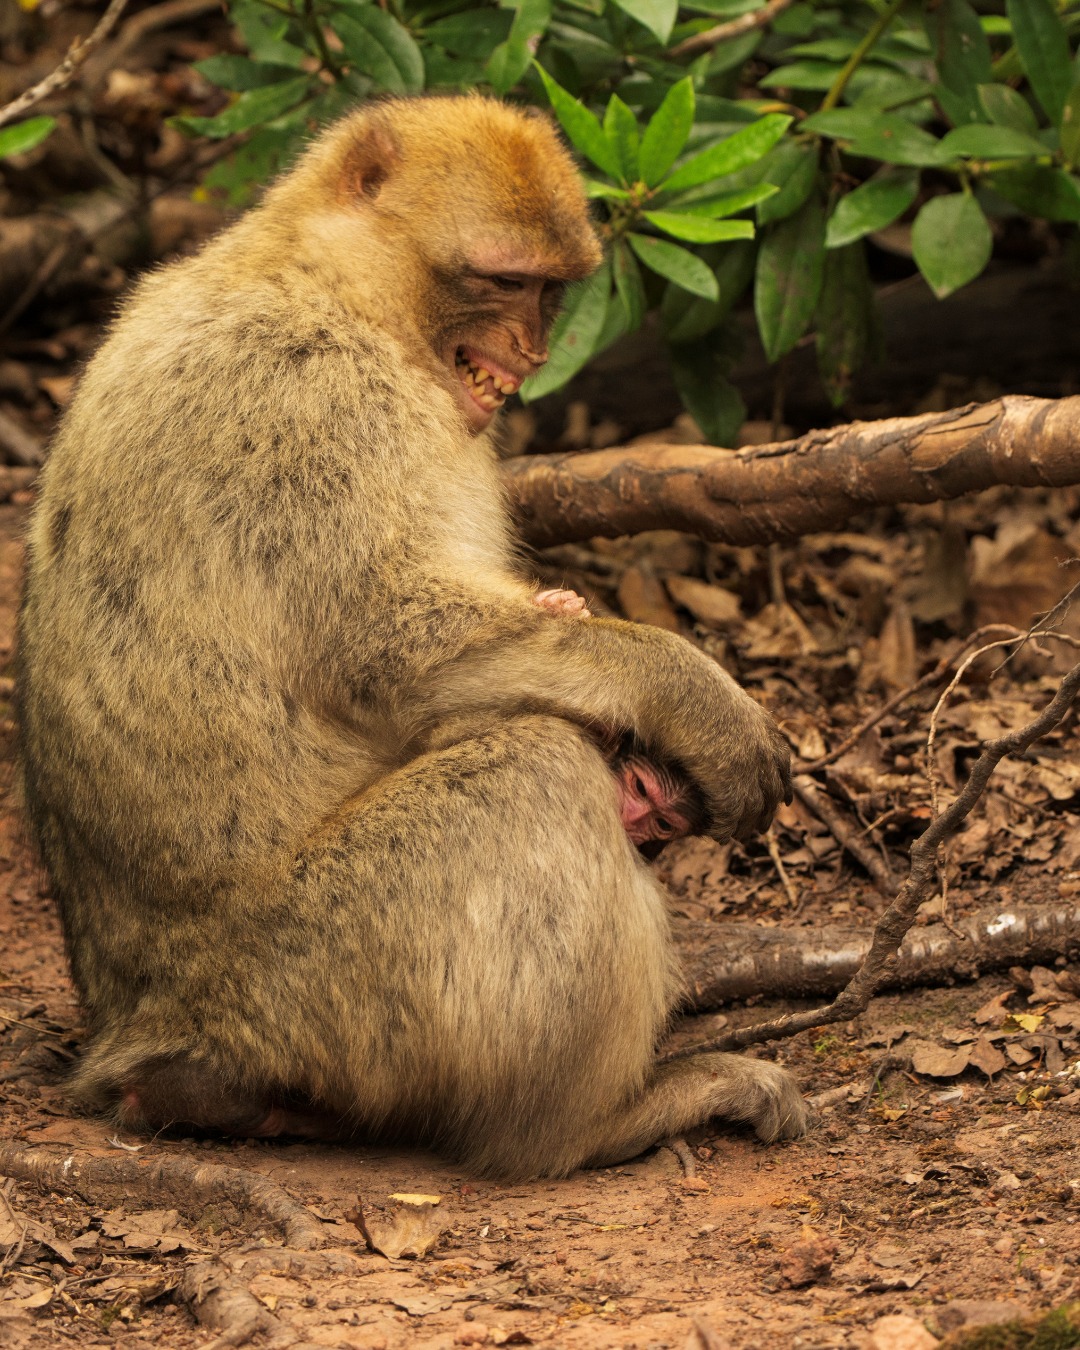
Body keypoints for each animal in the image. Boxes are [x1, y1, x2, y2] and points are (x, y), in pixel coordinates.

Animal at [17, 95, 807, 1176]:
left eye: (553, 290)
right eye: (503, 279)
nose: (529, 350)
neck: (329, 280)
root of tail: (132, 1033)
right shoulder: (313, 395)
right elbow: (385, 644)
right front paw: (686, 692)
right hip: (313, 975)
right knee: (535, 771)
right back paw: (587, 1125)